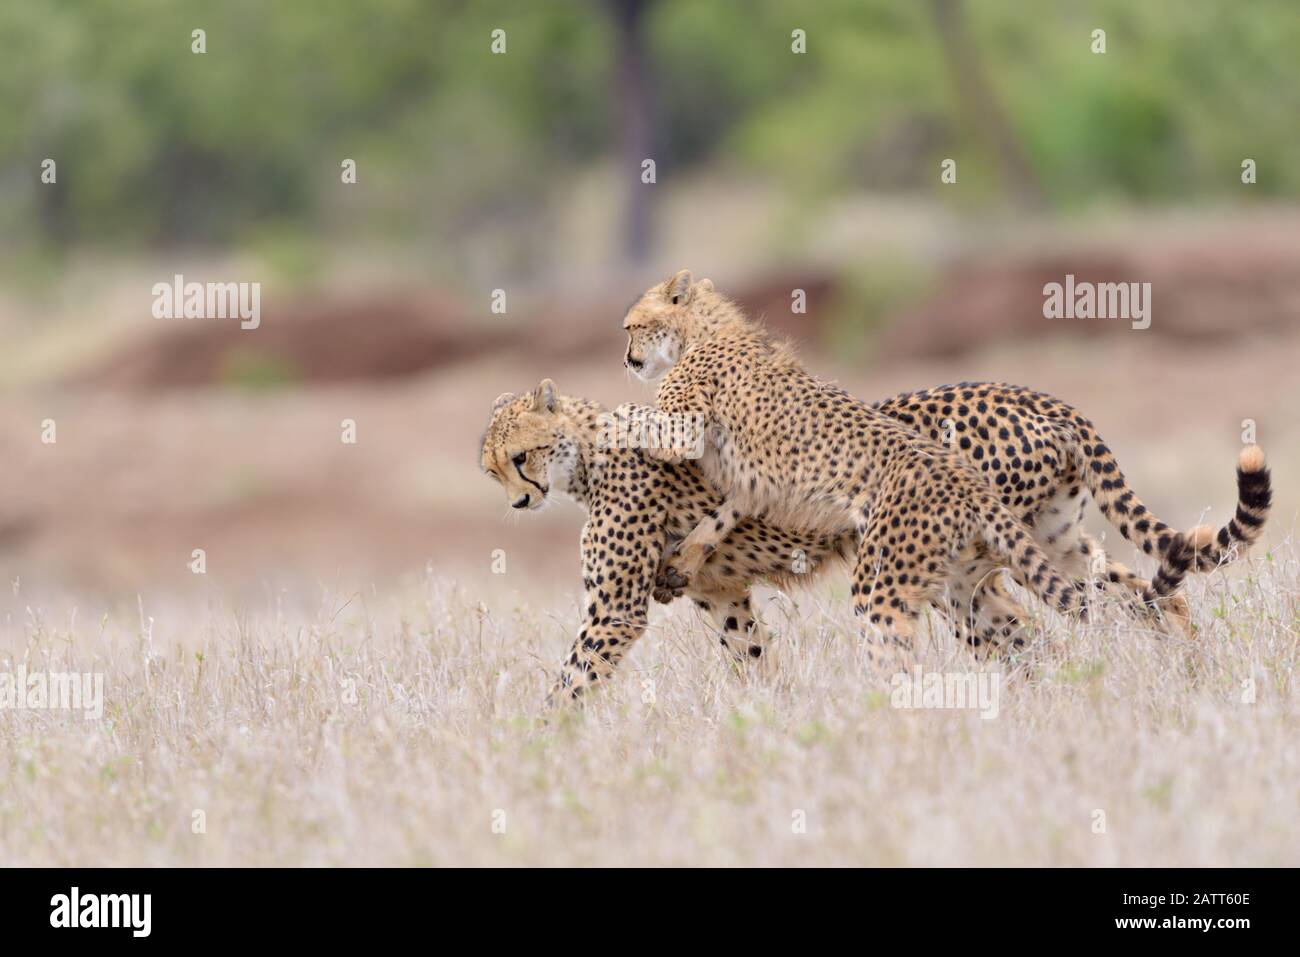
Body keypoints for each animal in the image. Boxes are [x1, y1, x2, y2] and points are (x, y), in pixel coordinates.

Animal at [619, 269, 1271, 668]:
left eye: (631, 326)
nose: (626, 359)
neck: (706, 329)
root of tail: (1047, 401)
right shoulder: (745, 506)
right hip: (1049, 538)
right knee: (1134, 594)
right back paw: (1183, 669)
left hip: (958, 568)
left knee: (1025, 630)